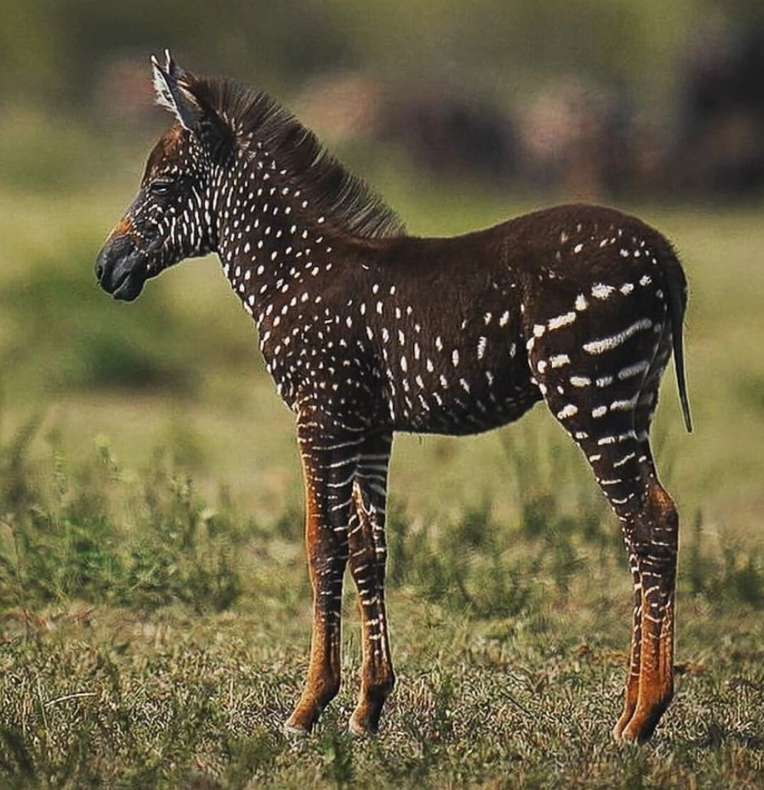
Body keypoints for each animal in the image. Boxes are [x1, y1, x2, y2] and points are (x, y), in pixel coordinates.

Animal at [95, 52, 692, 744]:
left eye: (163, 188)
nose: (105, 268)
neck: (293, 271)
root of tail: (664, 253)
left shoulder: (320, 414)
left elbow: (321, 545)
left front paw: (309, 706)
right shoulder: (369, 424)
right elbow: (367, 550)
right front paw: (368, 705)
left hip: (591, 396)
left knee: (651, 519)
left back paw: (645, 715)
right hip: (632, 401)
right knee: (640, 528)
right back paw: (628, 709)